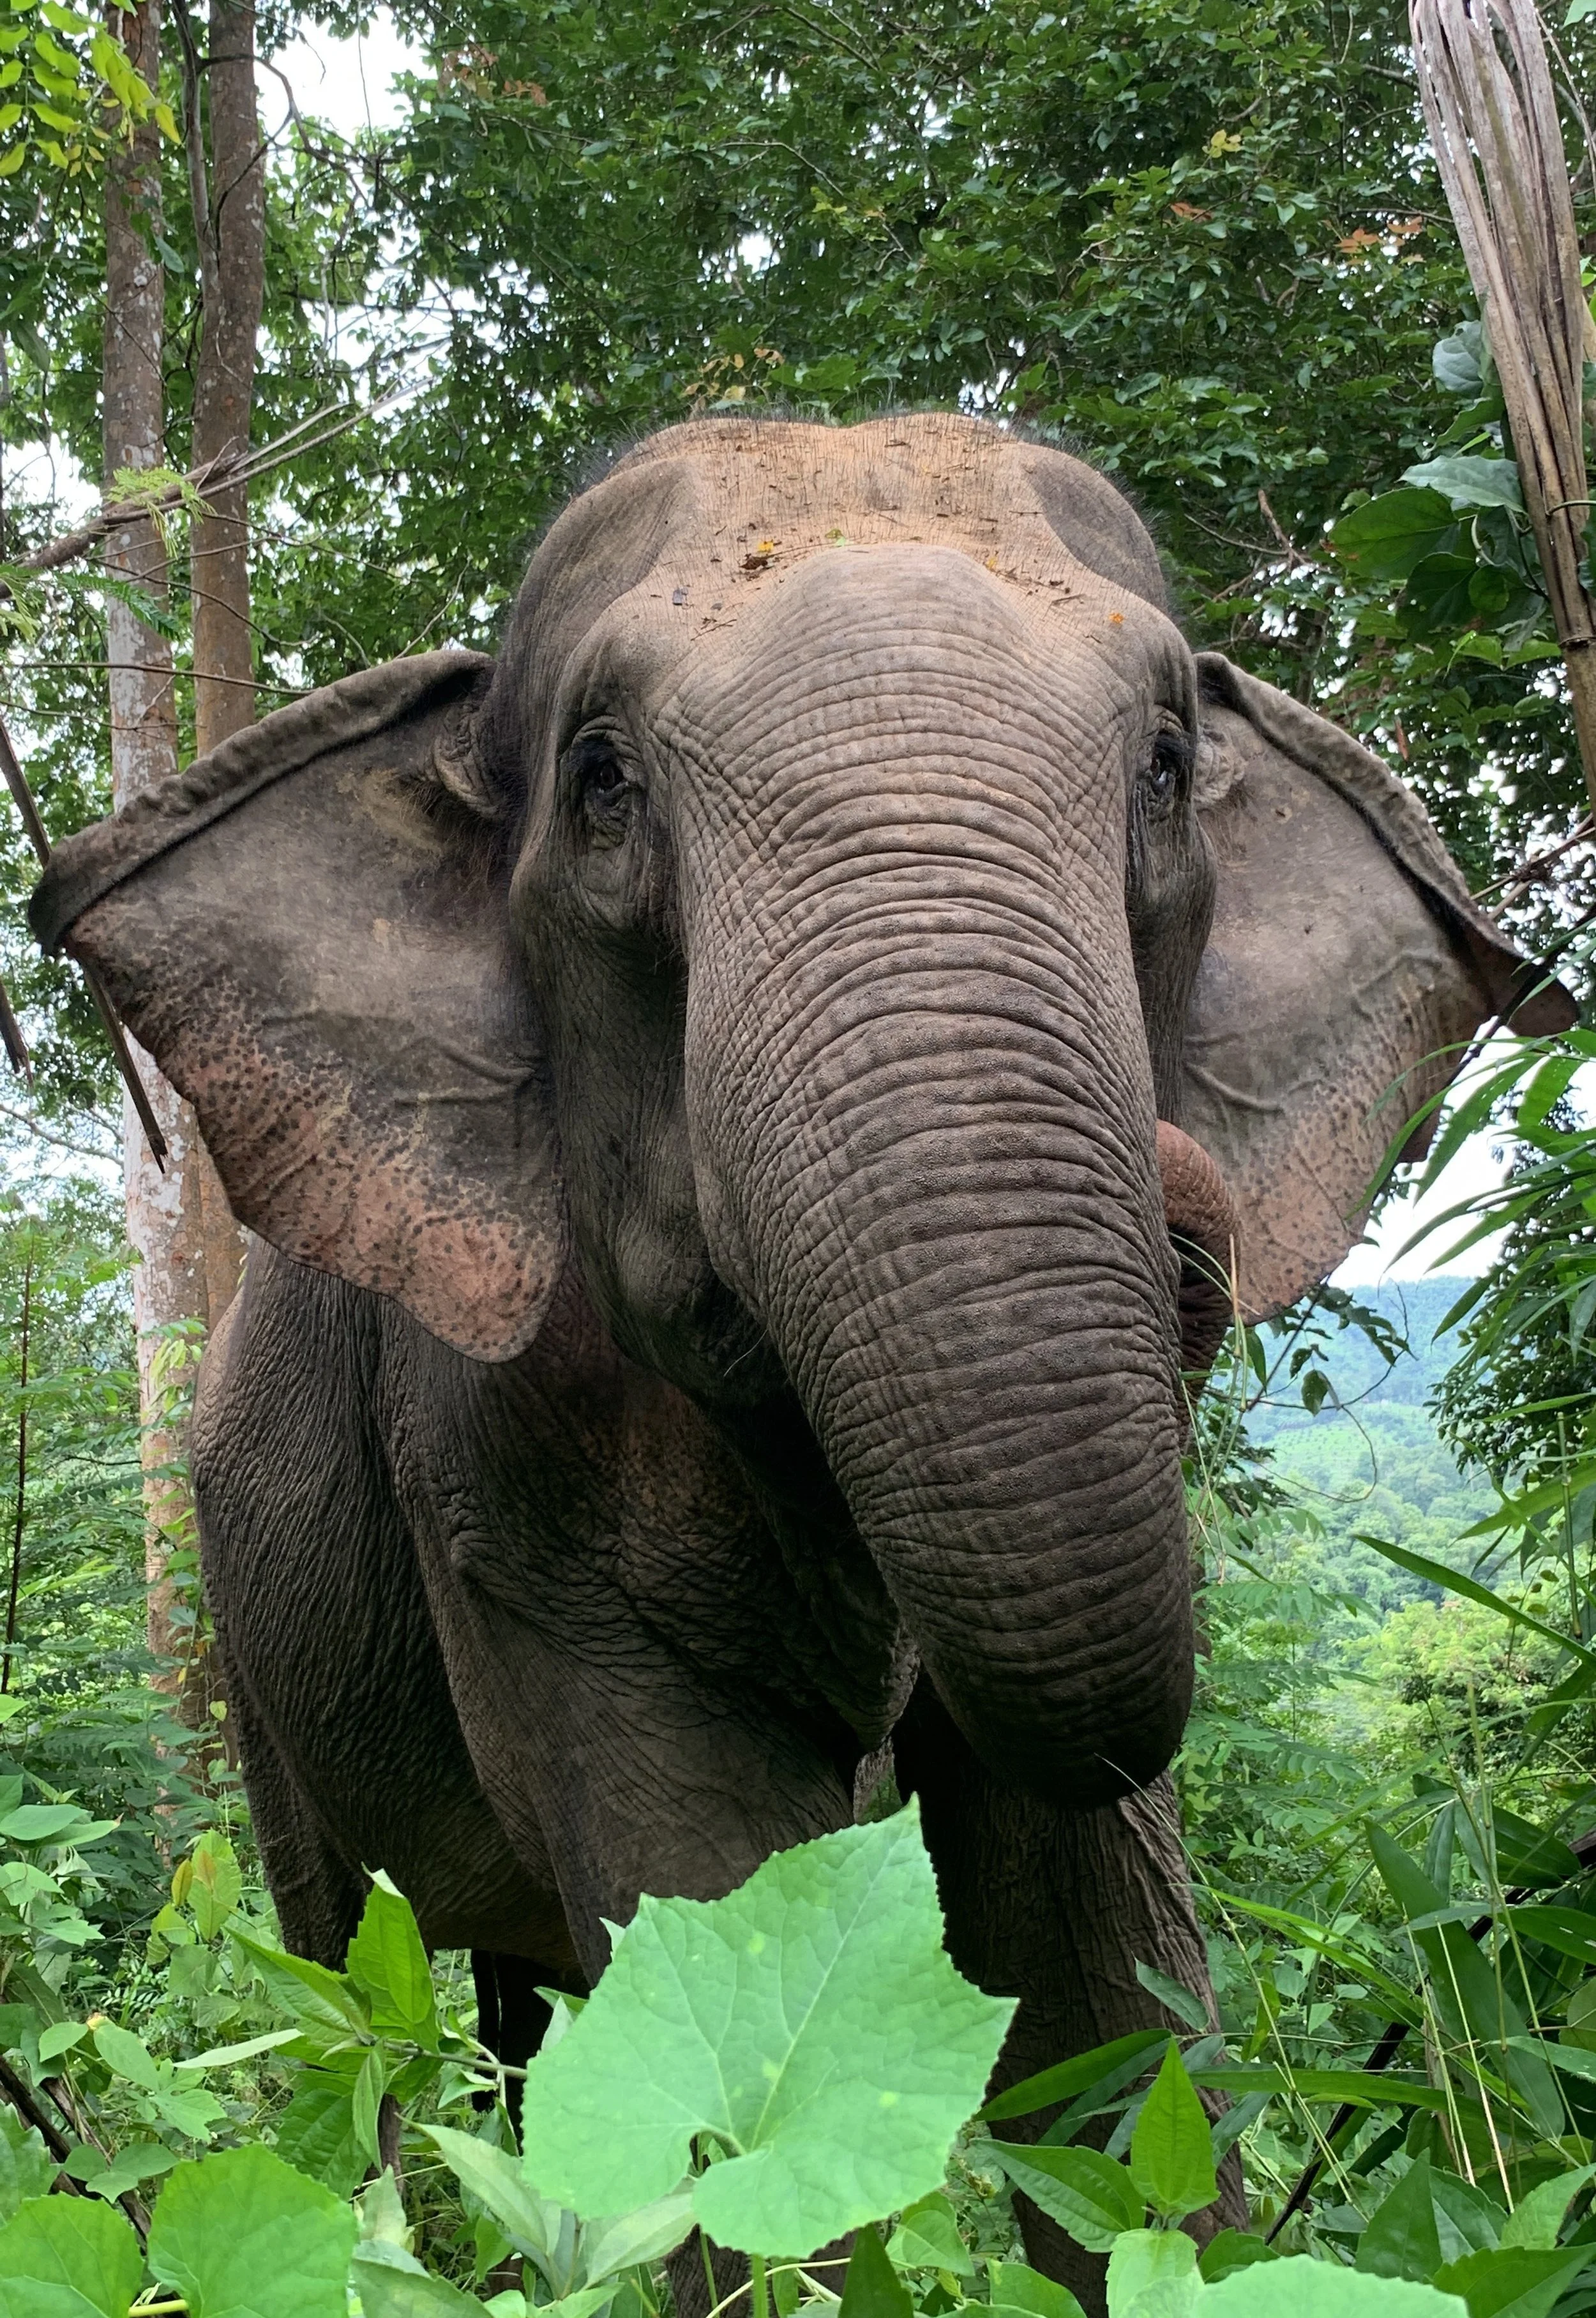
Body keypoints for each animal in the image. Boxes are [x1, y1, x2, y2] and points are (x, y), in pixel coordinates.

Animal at [32, 410, 1566, 2305]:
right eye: (601, 782)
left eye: (1164, 766)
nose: (1175, 1192)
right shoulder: (503, 1482)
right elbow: (713, 1952)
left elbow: (1101, 1977)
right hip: (250, 1669)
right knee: (343, 1990)